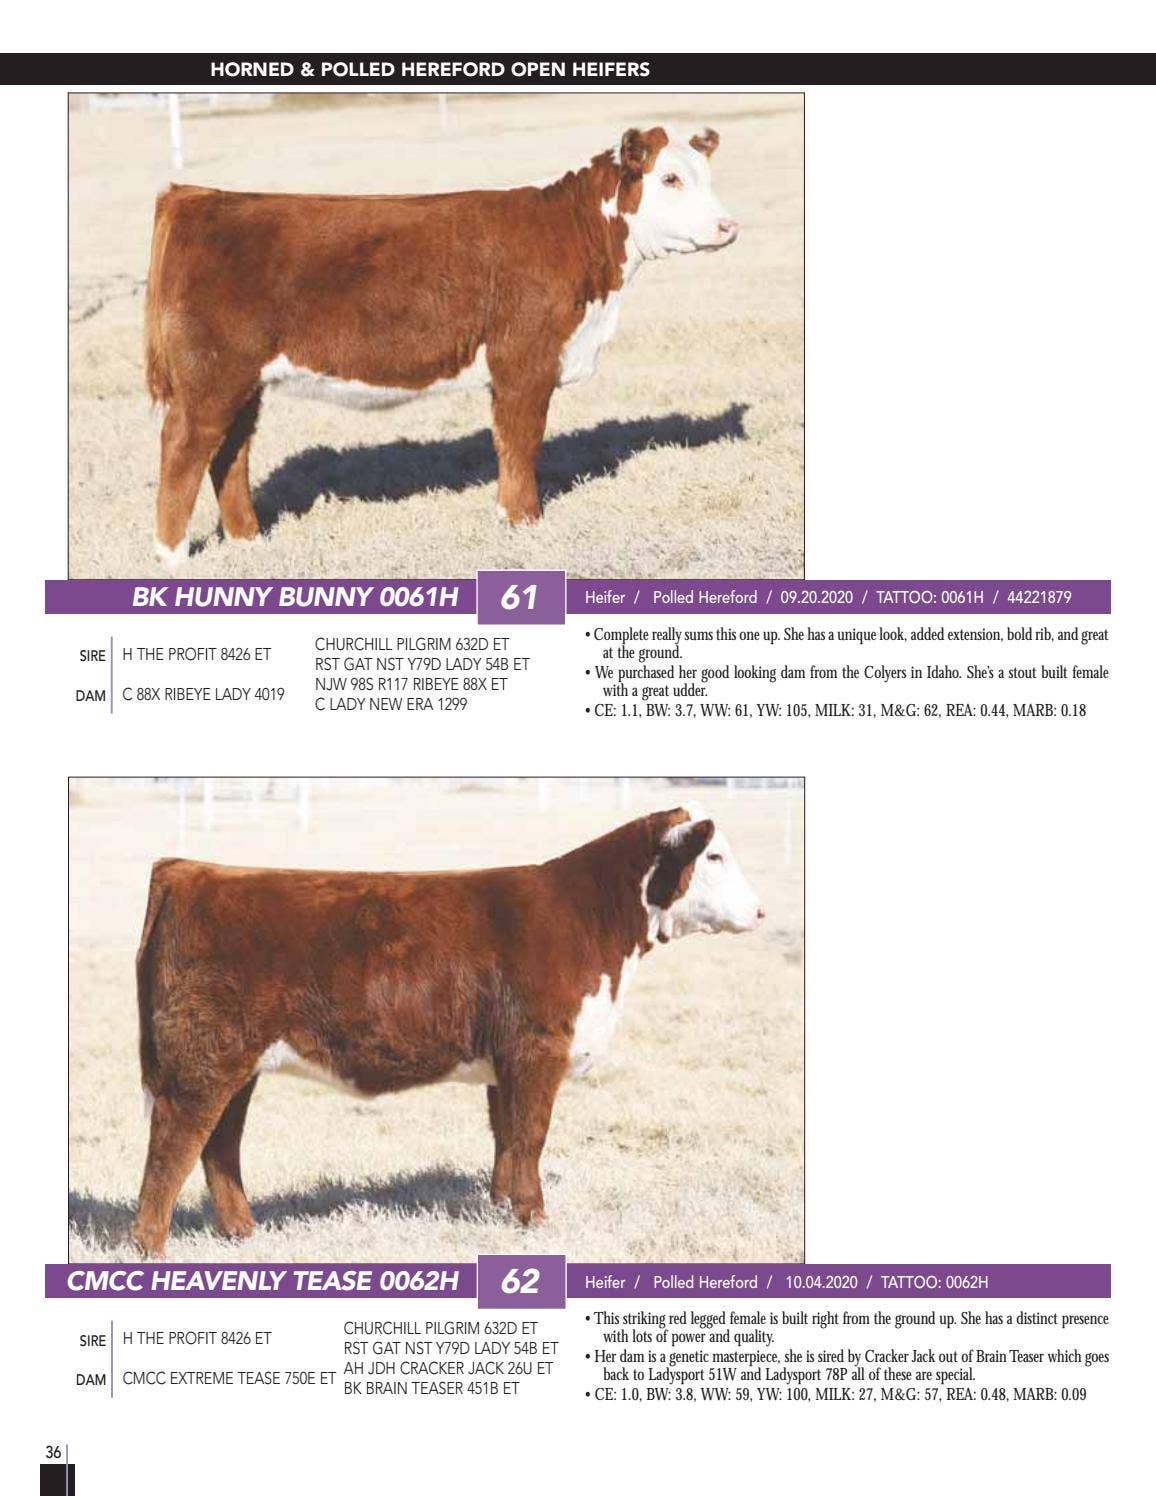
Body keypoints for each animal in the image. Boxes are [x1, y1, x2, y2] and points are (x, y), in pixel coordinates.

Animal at [131, 807, 764, 1255]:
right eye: (713, 856)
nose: (760, 912)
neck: (593, 920)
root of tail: (189, 869)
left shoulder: (505, 1060)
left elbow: (507, 1136)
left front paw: (503, 1208)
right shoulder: (539, 1046)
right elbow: (531, 1135)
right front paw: (536, 1219)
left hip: (236, 1064)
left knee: (220, 1144)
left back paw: (243, 1232)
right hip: (202, 1061)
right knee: (174, 1143)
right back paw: (151, 1248)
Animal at [144, 125, 738, 566]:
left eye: (706, 176)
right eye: (669, 178)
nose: (728, 226)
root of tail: (197, 196)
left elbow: (511, 443)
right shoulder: (524, 358)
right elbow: (521, 441)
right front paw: (522, 520)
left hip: (245, 380)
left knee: (231, 451)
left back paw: (248, 539)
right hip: (211, 374)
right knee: (183, 447)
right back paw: (172, 557)